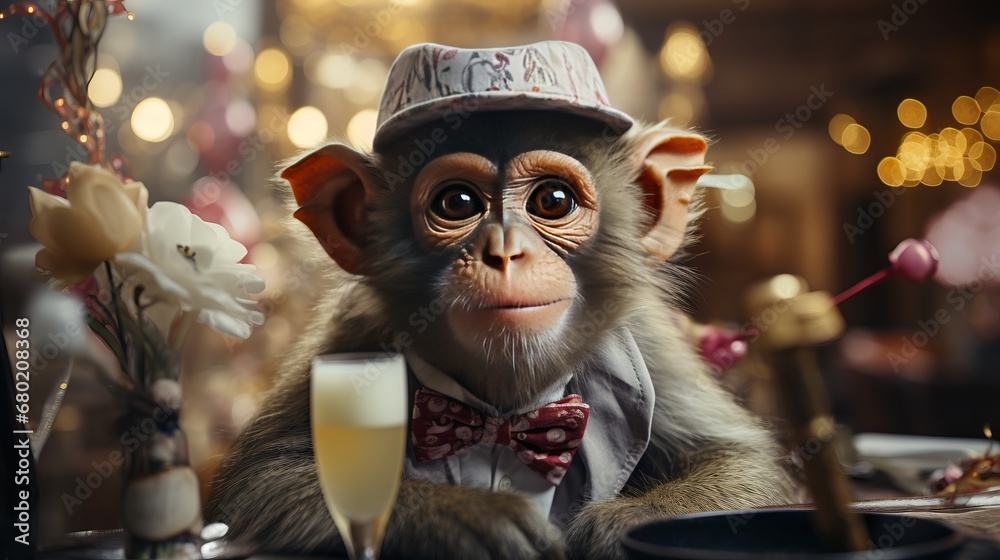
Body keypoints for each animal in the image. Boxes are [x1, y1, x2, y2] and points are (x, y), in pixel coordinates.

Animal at [207, 42, 795, 560]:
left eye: (553, 200)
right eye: (457, 203)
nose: (505, 252)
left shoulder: (646, 342)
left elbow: (740, 462)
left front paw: (620, 524)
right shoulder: (351, 336)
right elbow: (260, 484)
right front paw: (465, 518)